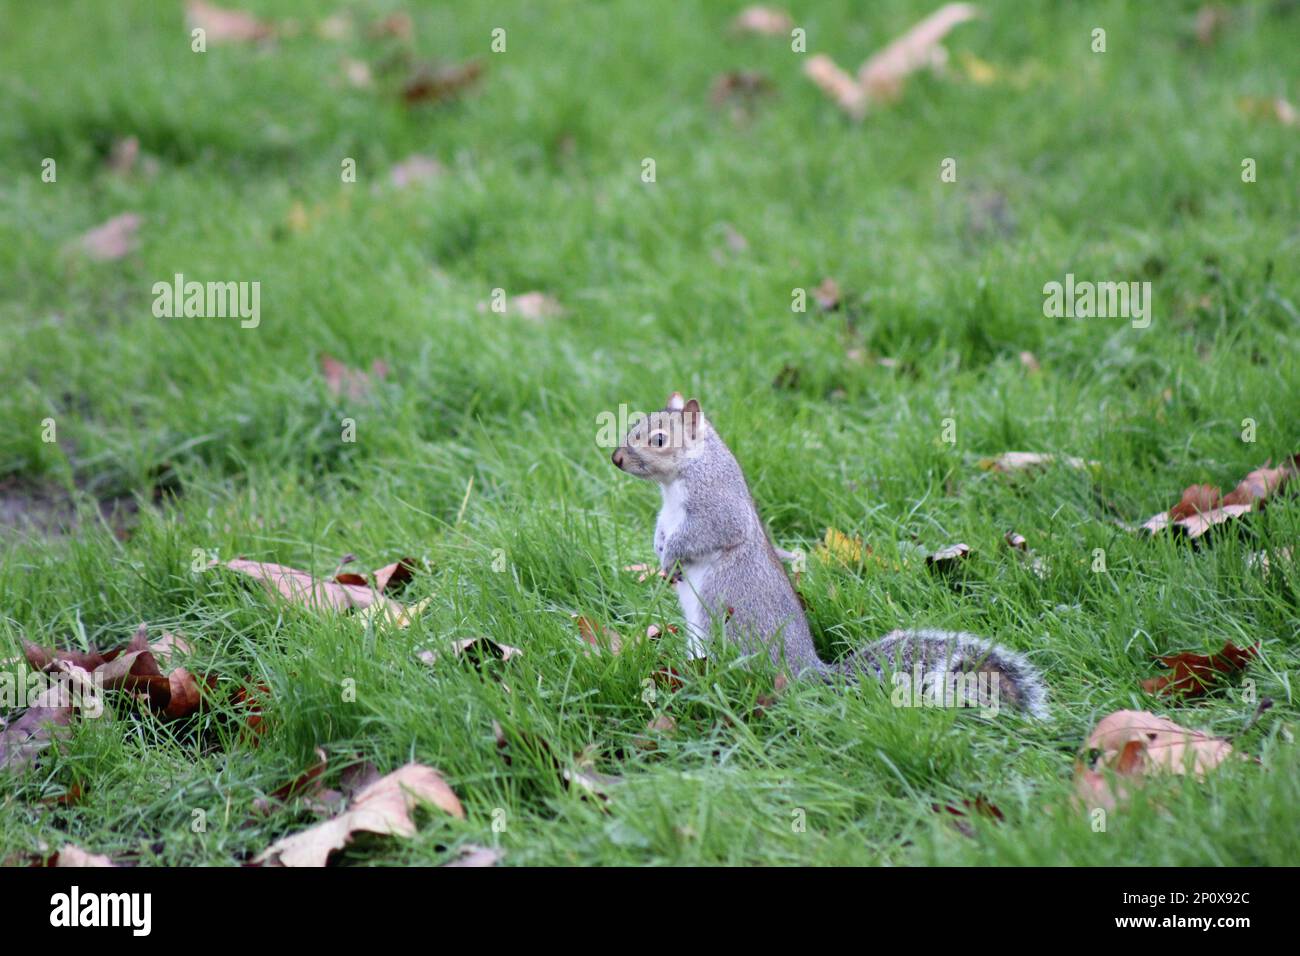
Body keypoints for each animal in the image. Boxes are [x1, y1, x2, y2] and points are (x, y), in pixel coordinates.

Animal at [611, 392, 1048, 718]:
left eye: (659, 440)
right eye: (635, 425)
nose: (616, 458)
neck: (678, 480)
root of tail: (806, 671)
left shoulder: (716, 507)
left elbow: (702, 535)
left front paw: (670, 557)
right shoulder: (668, 514)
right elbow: (662, 529)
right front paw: (660, 550)